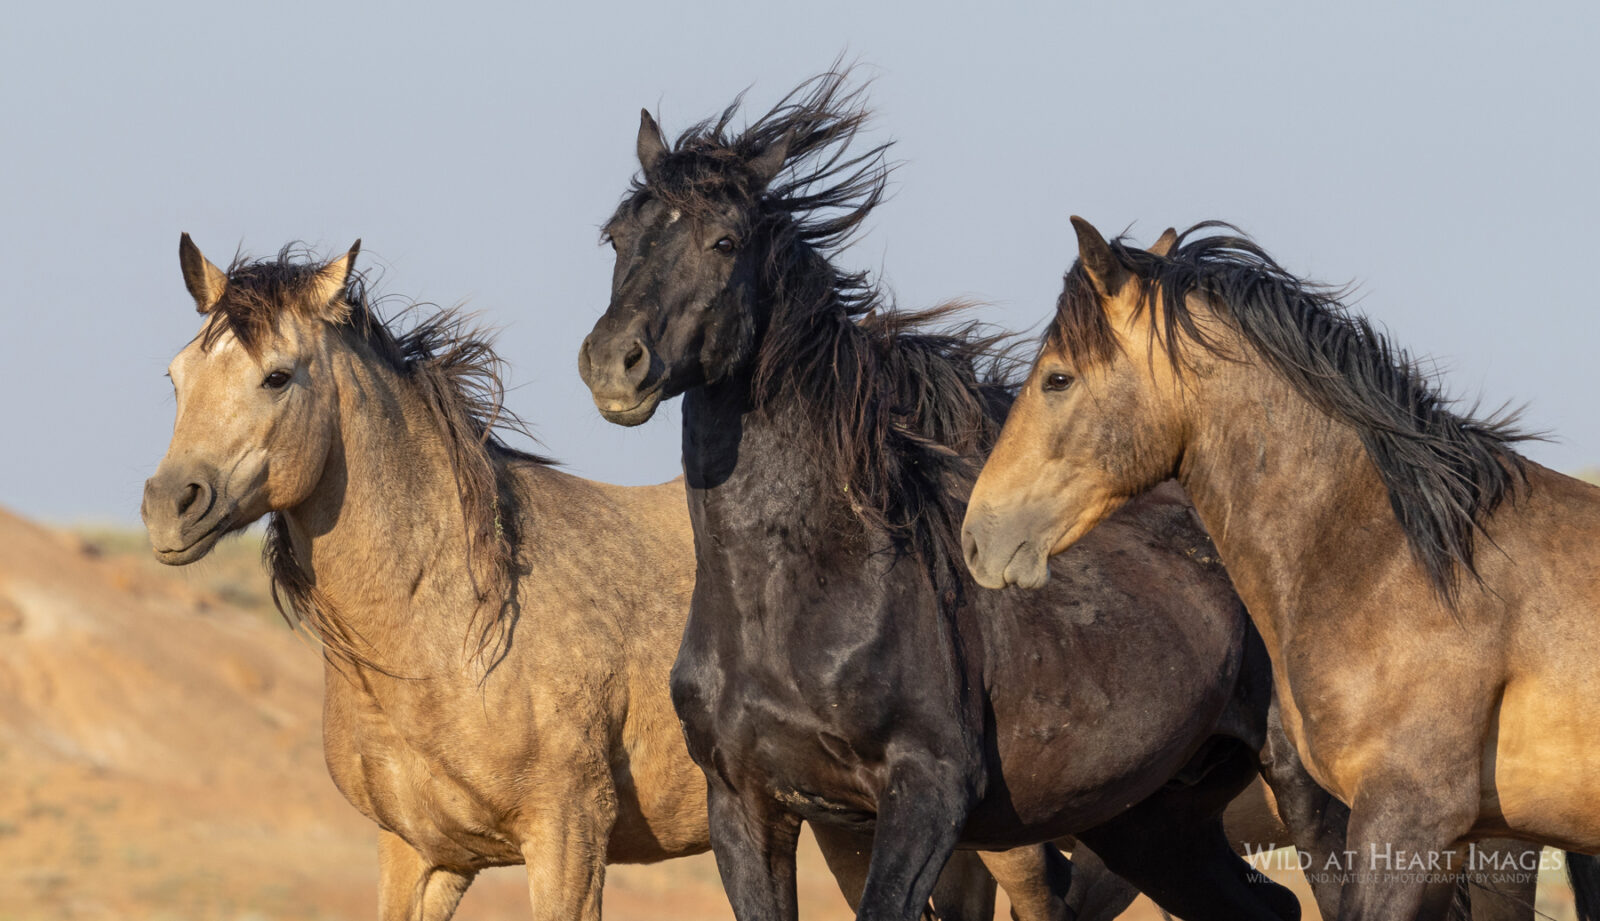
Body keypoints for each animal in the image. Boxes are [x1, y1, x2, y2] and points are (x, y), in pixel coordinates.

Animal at [139, 236, 1012, 921]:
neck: (452, 629)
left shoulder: (566, 836)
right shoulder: (418, 853)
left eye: (277, 376)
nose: (169, 506)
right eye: (176, 376)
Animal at [578, 69, 1316, 921]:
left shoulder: (927, 797)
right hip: (1150, 821)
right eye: (618, 237)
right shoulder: (749, 804)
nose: (614, 362)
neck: (801, 590)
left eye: (724, 241)